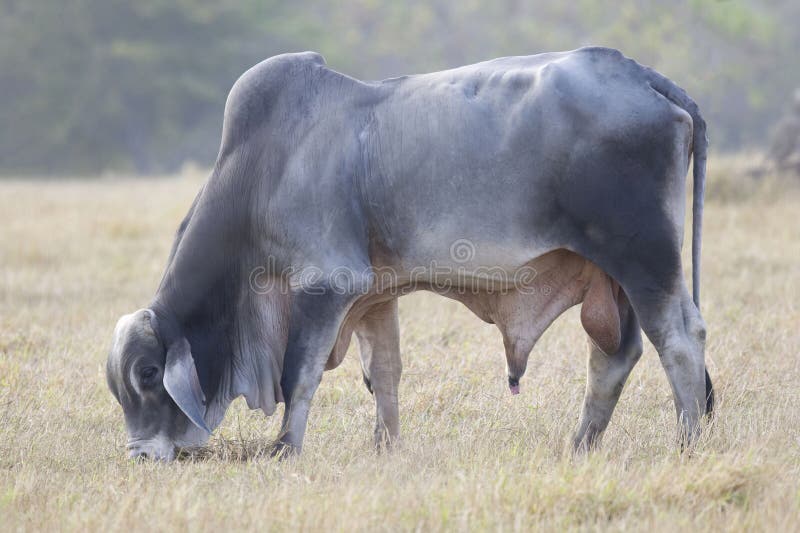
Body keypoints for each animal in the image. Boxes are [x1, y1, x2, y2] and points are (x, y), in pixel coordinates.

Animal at [106, 47, 713, 461]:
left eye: (148, 373)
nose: (141, 458)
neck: (261, 174)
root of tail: (641, 75)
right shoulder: (375, 295)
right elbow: (385, 373)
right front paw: (386, 449)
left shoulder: (327, 285)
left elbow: (297, 375)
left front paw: (284, 450)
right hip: (613, 276)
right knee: (616, 355)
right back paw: (580, 446)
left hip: (644, 257)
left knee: (680, 339)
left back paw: (686, 445)